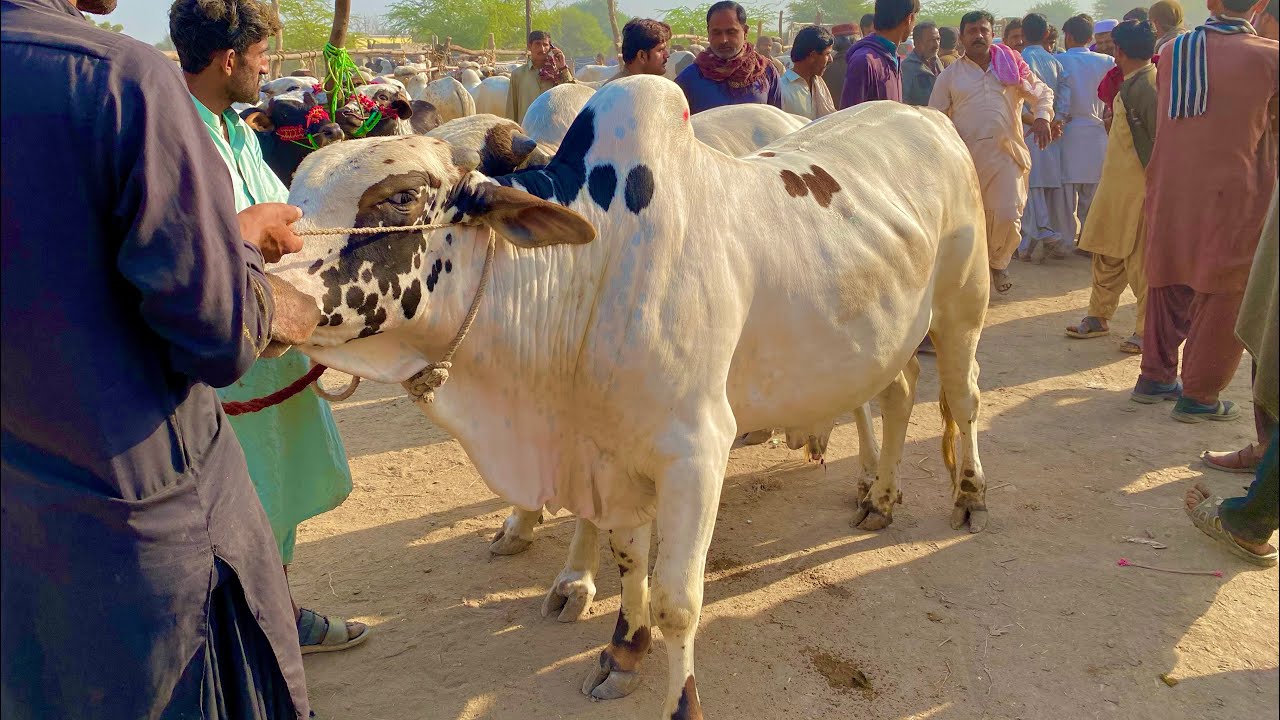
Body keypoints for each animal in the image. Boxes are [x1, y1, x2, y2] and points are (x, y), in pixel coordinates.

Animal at [266, 77, 990, 718]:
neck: (592, 268)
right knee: (897, 395)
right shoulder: (608, 455)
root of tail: (926, 116)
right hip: (886, 336)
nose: (265, 290)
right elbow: (628, 560)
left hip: (961, 308)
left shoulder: (695, 453)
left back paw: (968, 497)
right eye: (294, 188)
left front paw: (681, 702)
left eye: (402, 196)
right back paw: (880, 496)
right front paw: (623, 650)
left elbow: (678, 600)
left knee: (964, 397)